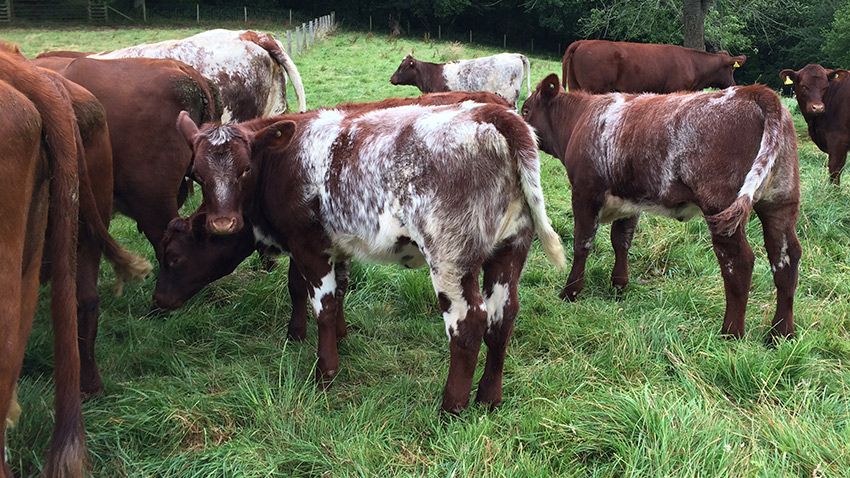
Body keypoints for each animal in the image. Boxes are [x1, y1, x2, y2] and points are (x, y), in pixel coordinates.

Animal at [174, 99, 567, 412]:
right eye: (197, 175)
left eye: (245, 169)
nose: (222, 223)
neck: (280, 161)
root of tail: (489, 113)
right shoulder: (339, 244)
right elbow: (340, 291)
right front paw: (341, 337)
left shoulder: (308, 245)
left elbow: (322, 304)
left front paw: (325, 371)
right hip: (510, 247)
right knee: (504, 316)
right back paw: (489, 398)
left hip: (451, 257)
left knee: (469, 323)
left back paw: (451, 407)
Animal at [521, 74, 800, 342]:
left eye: (525, 110)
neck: (580, 118)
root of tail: (754, 92)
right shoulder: (630, 199)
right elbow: (621, 240)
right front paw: (619, 284)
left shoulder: (585, 192)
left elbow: (582, 243)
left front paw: (570, 291)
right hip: (781, 202)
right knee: (786, 257)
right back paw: (780, 332)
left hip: (721, 207)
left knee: (739, 260)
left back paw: (731, 333)